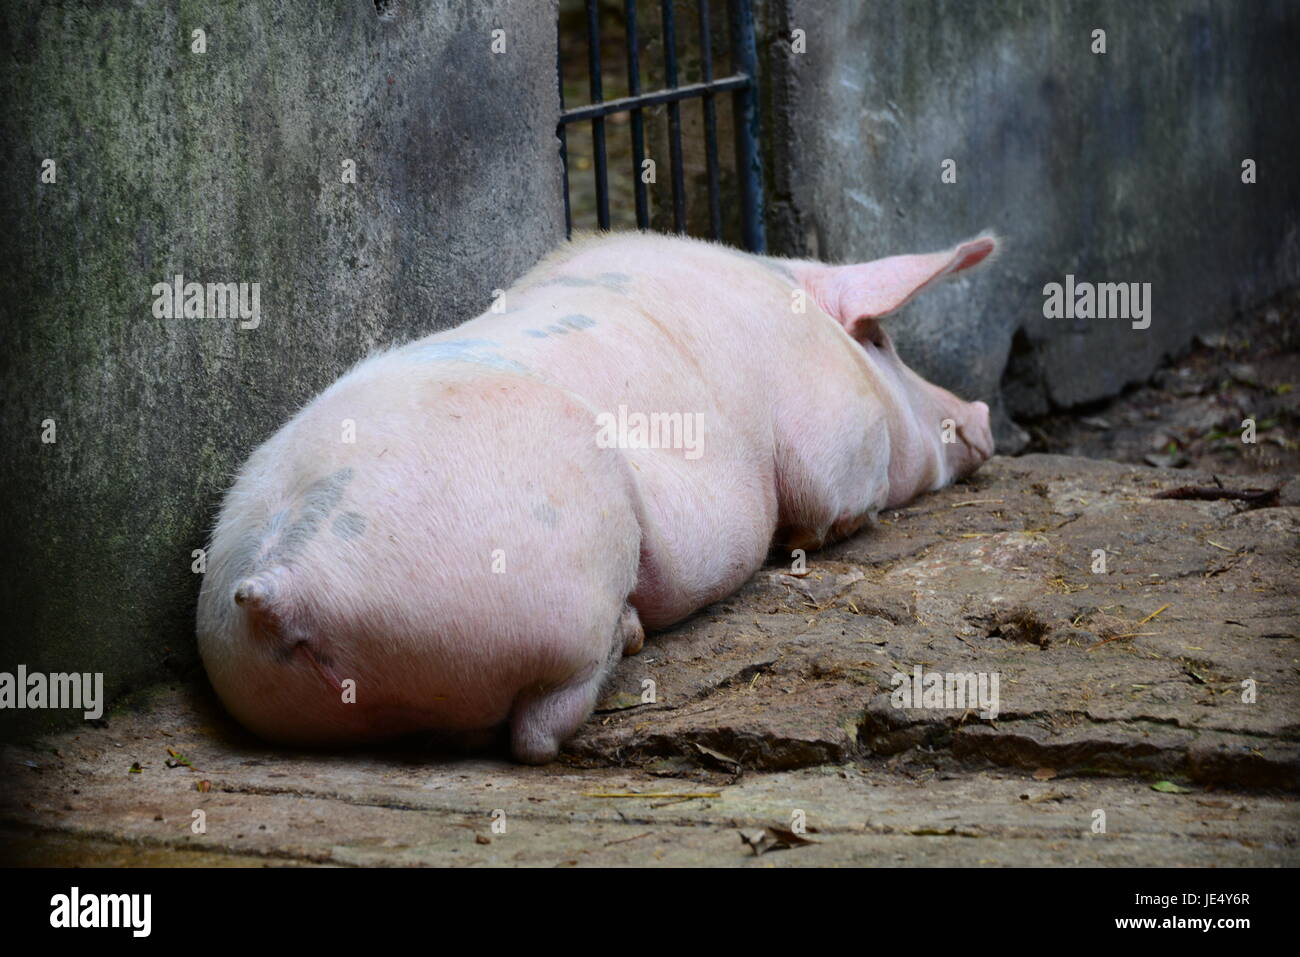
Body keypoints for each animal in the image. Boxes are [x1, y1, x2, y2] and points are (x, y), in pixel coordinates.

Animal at [196, 232, 996, 763]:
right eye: (884, 342)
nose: (983, 415)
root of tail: (280, 583)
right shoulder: (829, 446)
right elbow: (827, 511)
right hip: (553, 588)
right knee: (539, 730)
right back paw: (629, 634)